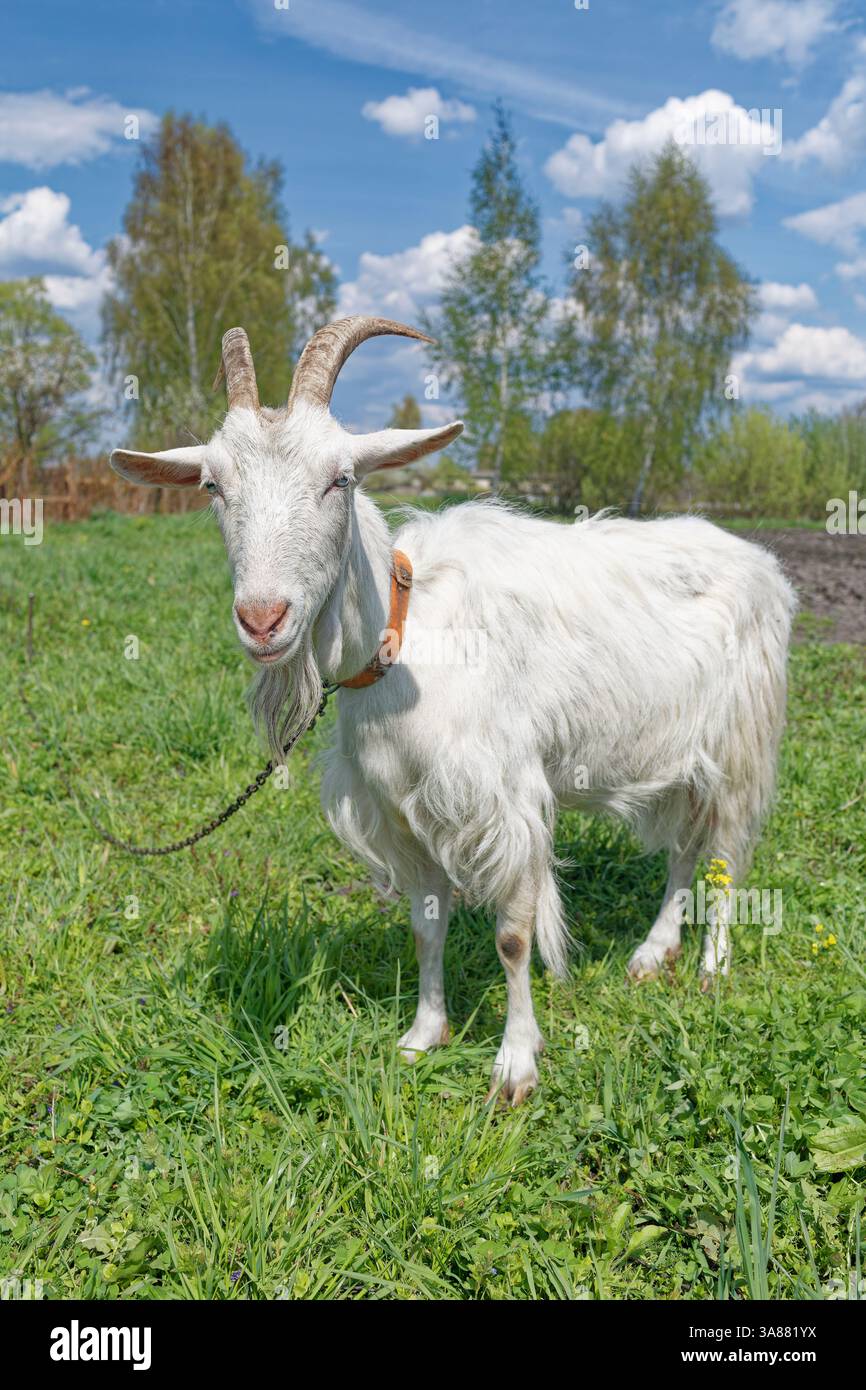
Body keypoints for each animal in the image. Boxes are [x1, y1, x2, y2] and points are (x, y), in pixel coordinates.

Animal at [111, 317, 796, 1105]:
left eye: (340, 478)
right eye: (213, 485)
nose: (262, 619)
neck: (404, 638)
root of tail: (760, 562)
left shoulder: (505, 801)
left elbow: (513, 935)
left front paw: (515, 1067)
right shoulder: (400, 810)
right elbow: (426, 926)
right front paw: (422, 1035)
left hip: (741, 740)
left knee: (724, 852)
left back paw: (712, 967)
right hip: (678, 752)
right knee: (685, 849)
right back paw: (653, 954)